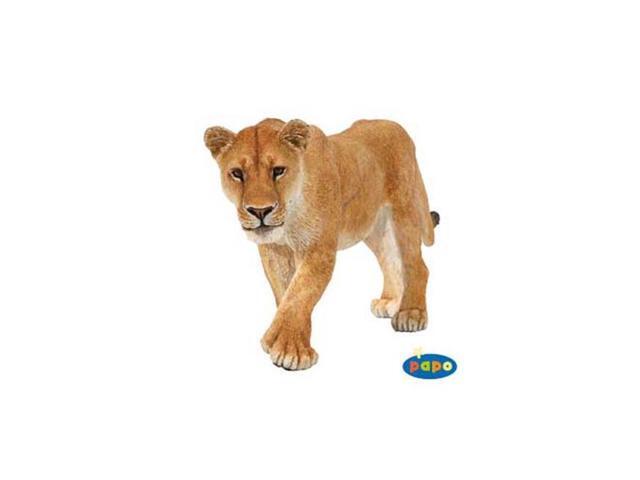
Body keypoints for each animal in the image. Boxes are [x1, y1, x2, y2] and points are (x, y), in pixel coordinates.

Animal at [204, 118, 439, 370]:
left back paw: (410, 314)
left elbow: (299, 293)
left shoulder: (317, 250)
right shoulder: (274, 250)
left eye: (278, 170)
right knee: (389, 259)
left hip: (404, 213)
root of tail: (395, 125)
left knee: (417, 265)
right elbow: (285, 294)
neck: (290, 216)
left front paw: (291, 351)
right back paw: (390, 301)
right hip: (374, 228)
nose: (260, 211)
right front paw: (283, 340)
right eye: (237, 174)